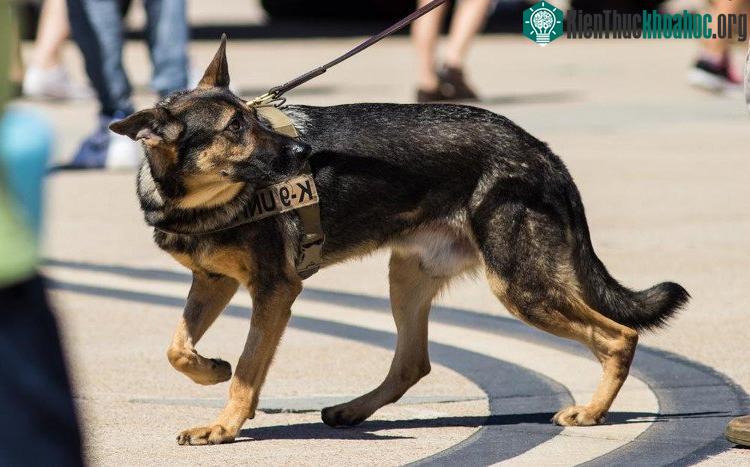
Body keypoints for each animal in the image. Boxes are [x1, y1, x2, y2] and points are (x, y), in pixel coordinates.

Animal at [108, 40, 692, 446]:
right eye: (234, 127)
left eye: (253, 119)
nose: (302, 153)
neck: (197, 202)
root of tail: (539, 150)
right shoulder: (213, 282)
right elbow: (177, 348)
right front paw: (209, 369)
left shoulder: (274, 290)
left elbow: (249, 370)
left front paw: (225, 425)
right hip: (408, 276)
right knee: (414, 363)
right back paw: (352, 409)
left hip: (518, 285)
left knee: (618, 336)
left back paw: (592, 412)